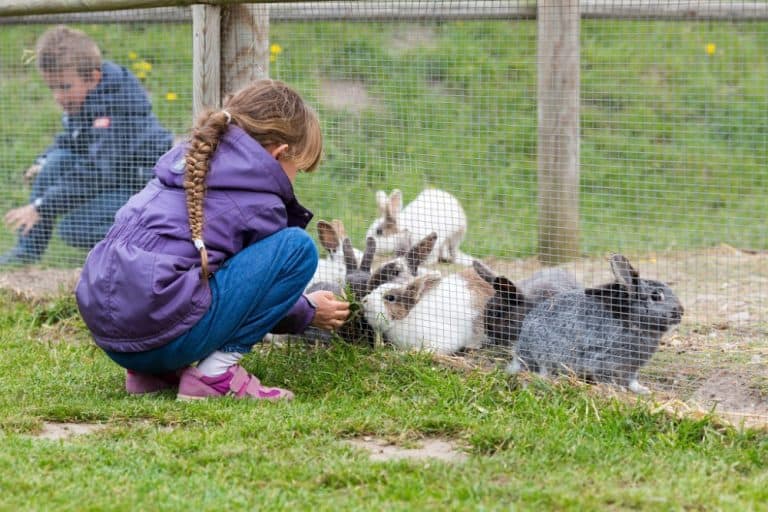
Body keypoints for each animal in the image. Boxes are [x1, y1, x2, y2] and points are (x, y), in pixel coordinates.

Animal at [509, 254, 684, 395]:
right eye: (656, 296)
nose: (681, 311)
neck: (633, 320)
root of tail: (521, 351)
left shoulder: (631, 367)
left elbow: (631, 381)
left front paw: (642, 390)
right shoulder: (602, 358)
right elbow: (605, 376)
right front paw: (616, 388)